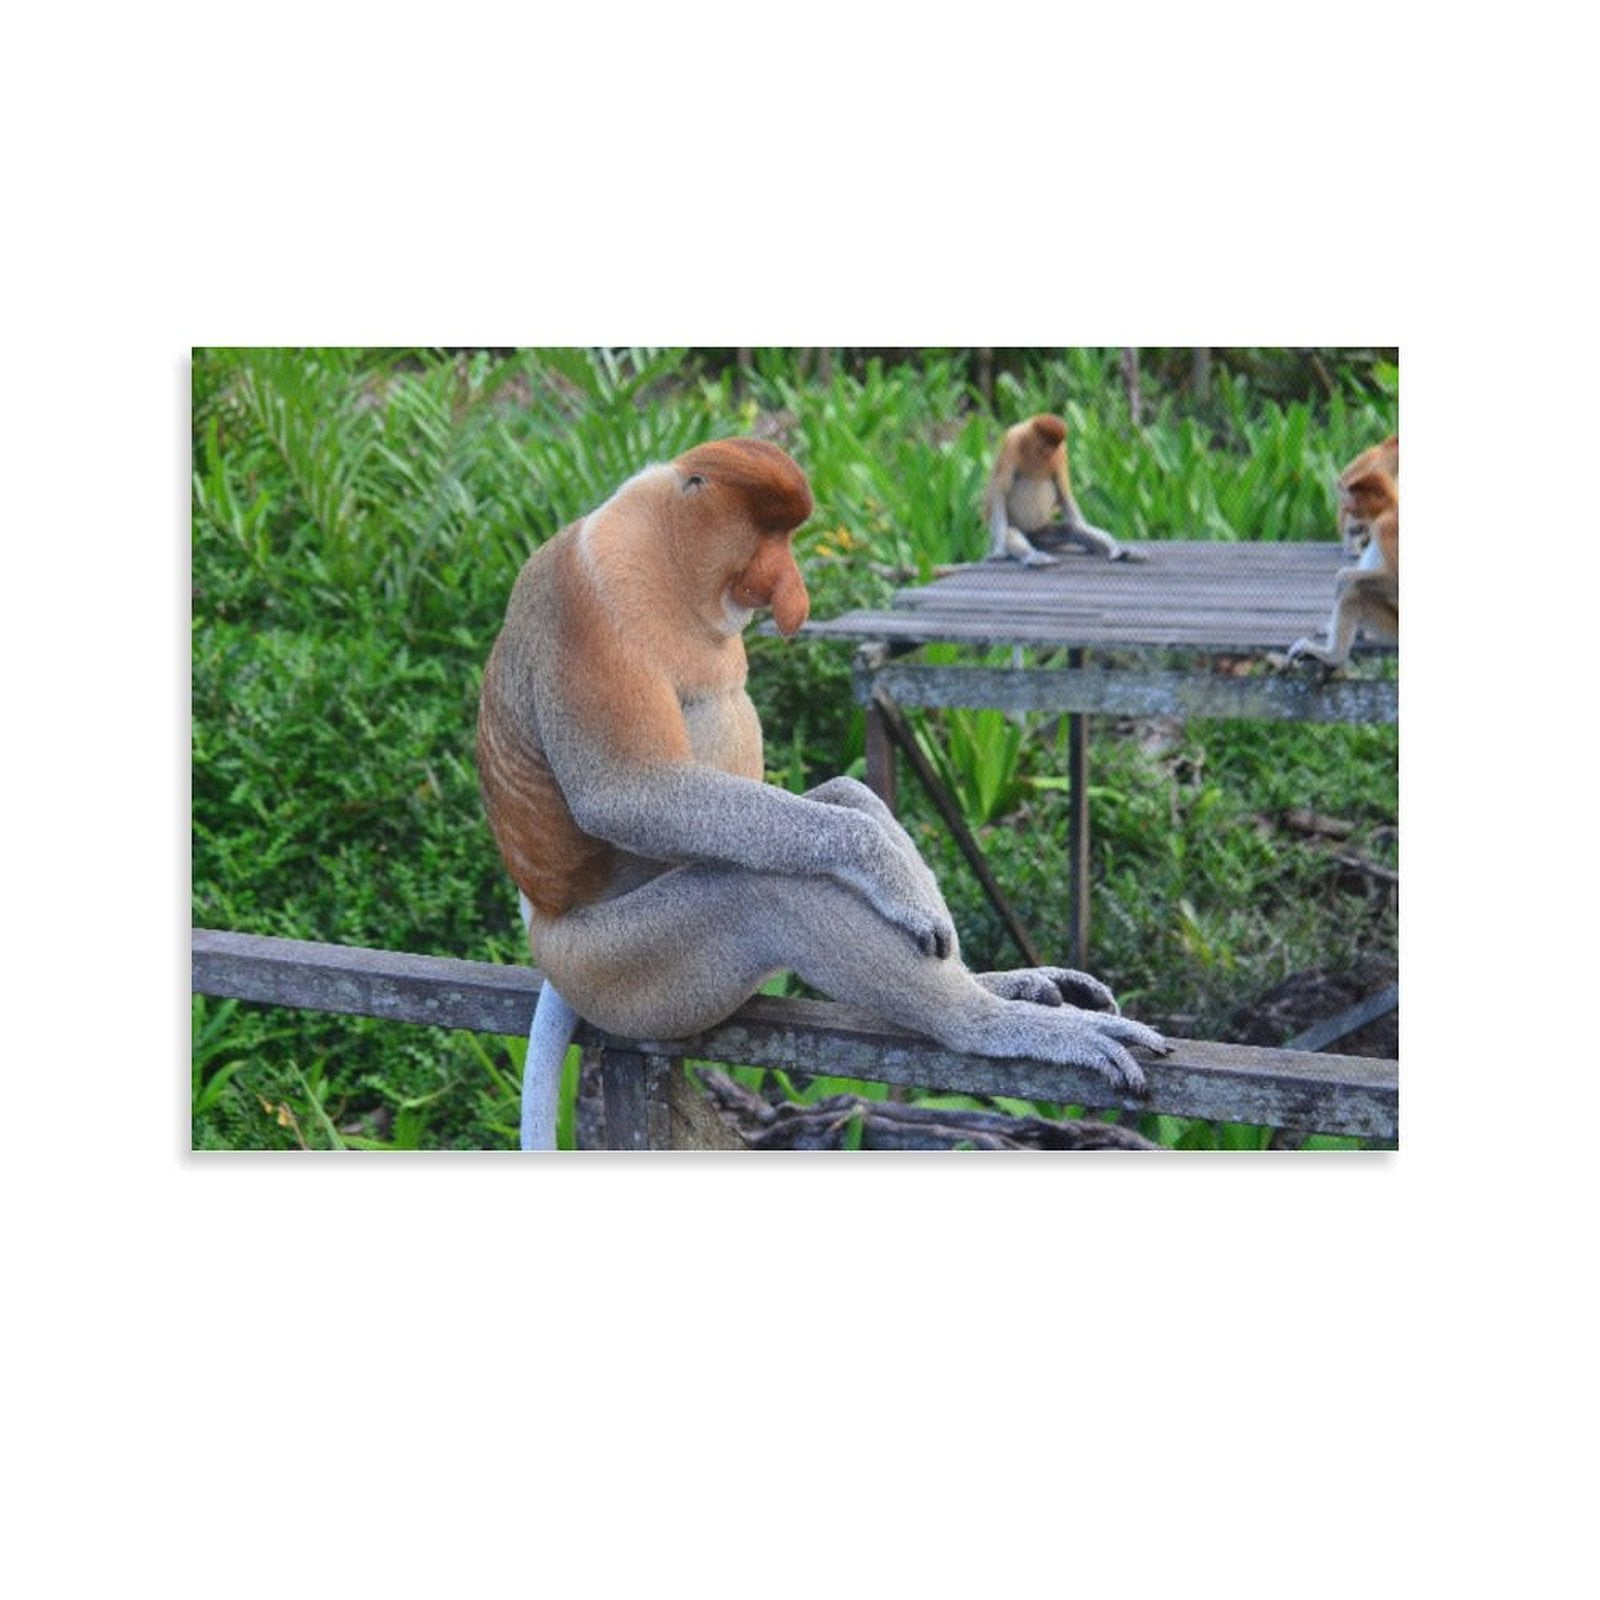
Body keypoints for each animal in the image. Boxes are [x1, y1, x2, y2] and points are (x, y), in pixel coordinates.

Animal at [476, 438, 1167, 1149]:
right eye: (768, 536)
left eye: (786, 537)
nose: (792, 590)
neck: (659, 553)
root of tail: (546, 931)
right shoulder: (584, 600)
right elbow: (625, 794)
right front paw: (886, 871)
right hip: (621, 970)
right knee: (763, 891)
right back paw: (989, 1022)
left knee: (842, 797)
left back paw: (1005, 984)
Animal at [983, 413, 1136, 566]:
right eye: (1045, 445)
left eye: (1055, 446)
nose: (1050, 455)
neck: (1030, 446)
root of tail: (1032, 534)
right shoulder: (1011, 443)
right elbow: (999, 493)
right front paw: (998, 552)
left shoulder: (1061, 452)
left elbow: (1063, 492)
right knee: (1011, 534)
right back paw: (1035, 557)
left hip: (1042, 531)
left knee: (1072, 528)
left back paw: (1115, 550)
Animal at [1286, 435, 1399, 671]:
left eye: (1351, 502)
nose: (1346, 508)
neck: (1389, 508)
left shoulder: (1386, 527)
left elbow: (1392, 579)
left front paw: (1342, 578)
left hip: (1394, 626)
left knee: (1354, 594)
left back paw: (1332, 656)